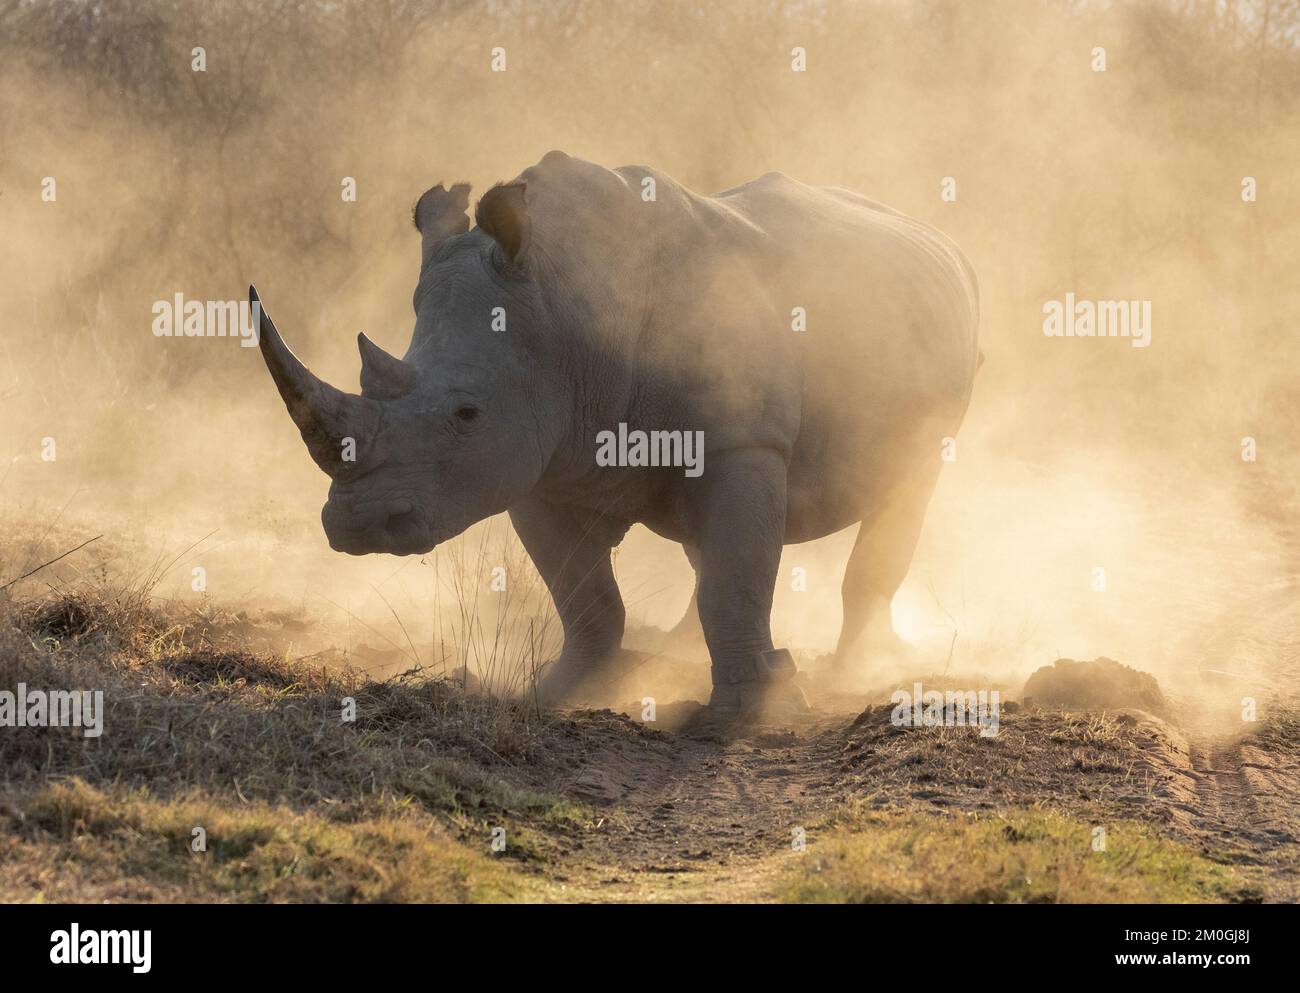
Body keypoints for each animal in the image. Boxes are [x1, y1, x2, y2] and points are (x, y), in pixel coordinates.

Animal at [253, 151, 980, 714]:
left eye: (465, 414)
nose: (356, 525)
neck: (565, 301)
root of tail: (938, 237)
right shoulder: (538, 458)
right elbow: (585, 592)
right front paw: (560, 691)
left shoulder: (743, 439)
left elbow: (734, 577)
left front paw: (751, 710)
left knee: (909, 485)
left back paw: (854, 670)